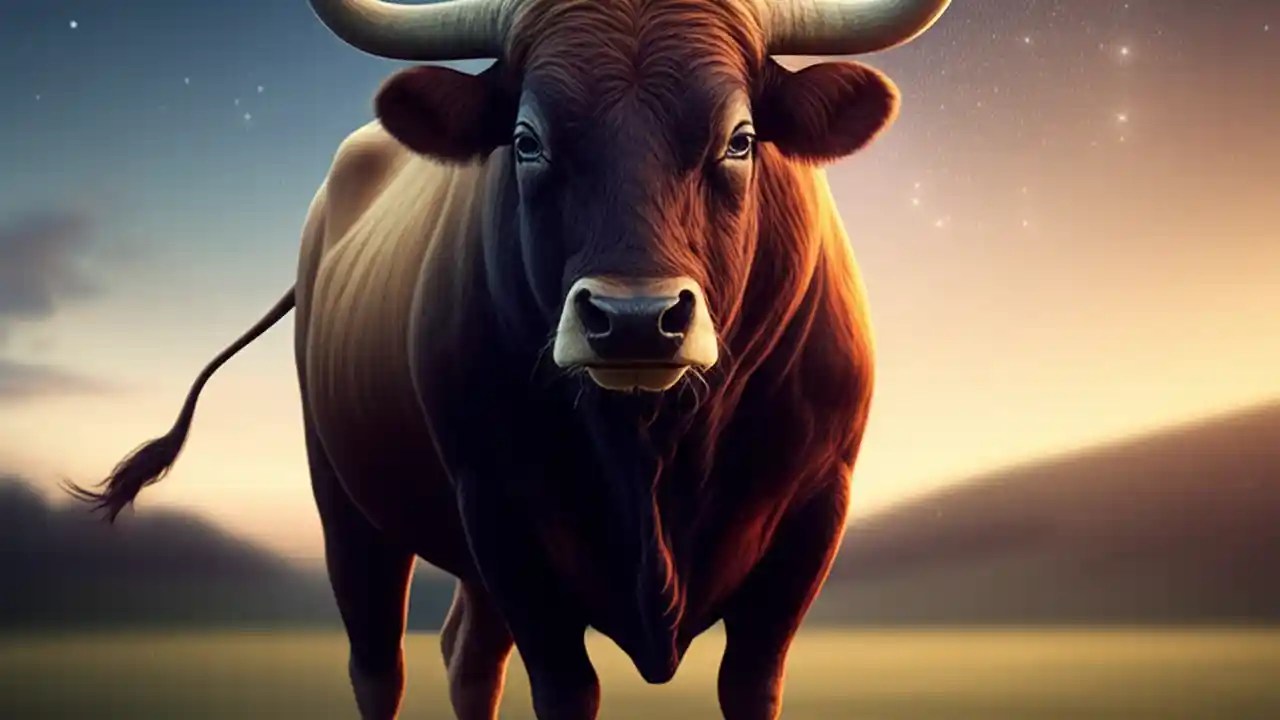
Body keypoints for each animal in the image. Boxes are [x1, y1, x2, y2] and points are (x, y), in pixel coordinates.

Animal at [69, 0, 950, 718]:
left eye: (740, 140)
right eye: (527, 141)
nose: (634, 321)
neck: (650, 447)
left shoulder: (814, 514)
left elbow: (750, 684)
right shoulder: (503, 514)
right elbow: (565, 688)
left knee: (466, 656)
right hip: (347, 503)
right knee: (377, 665)